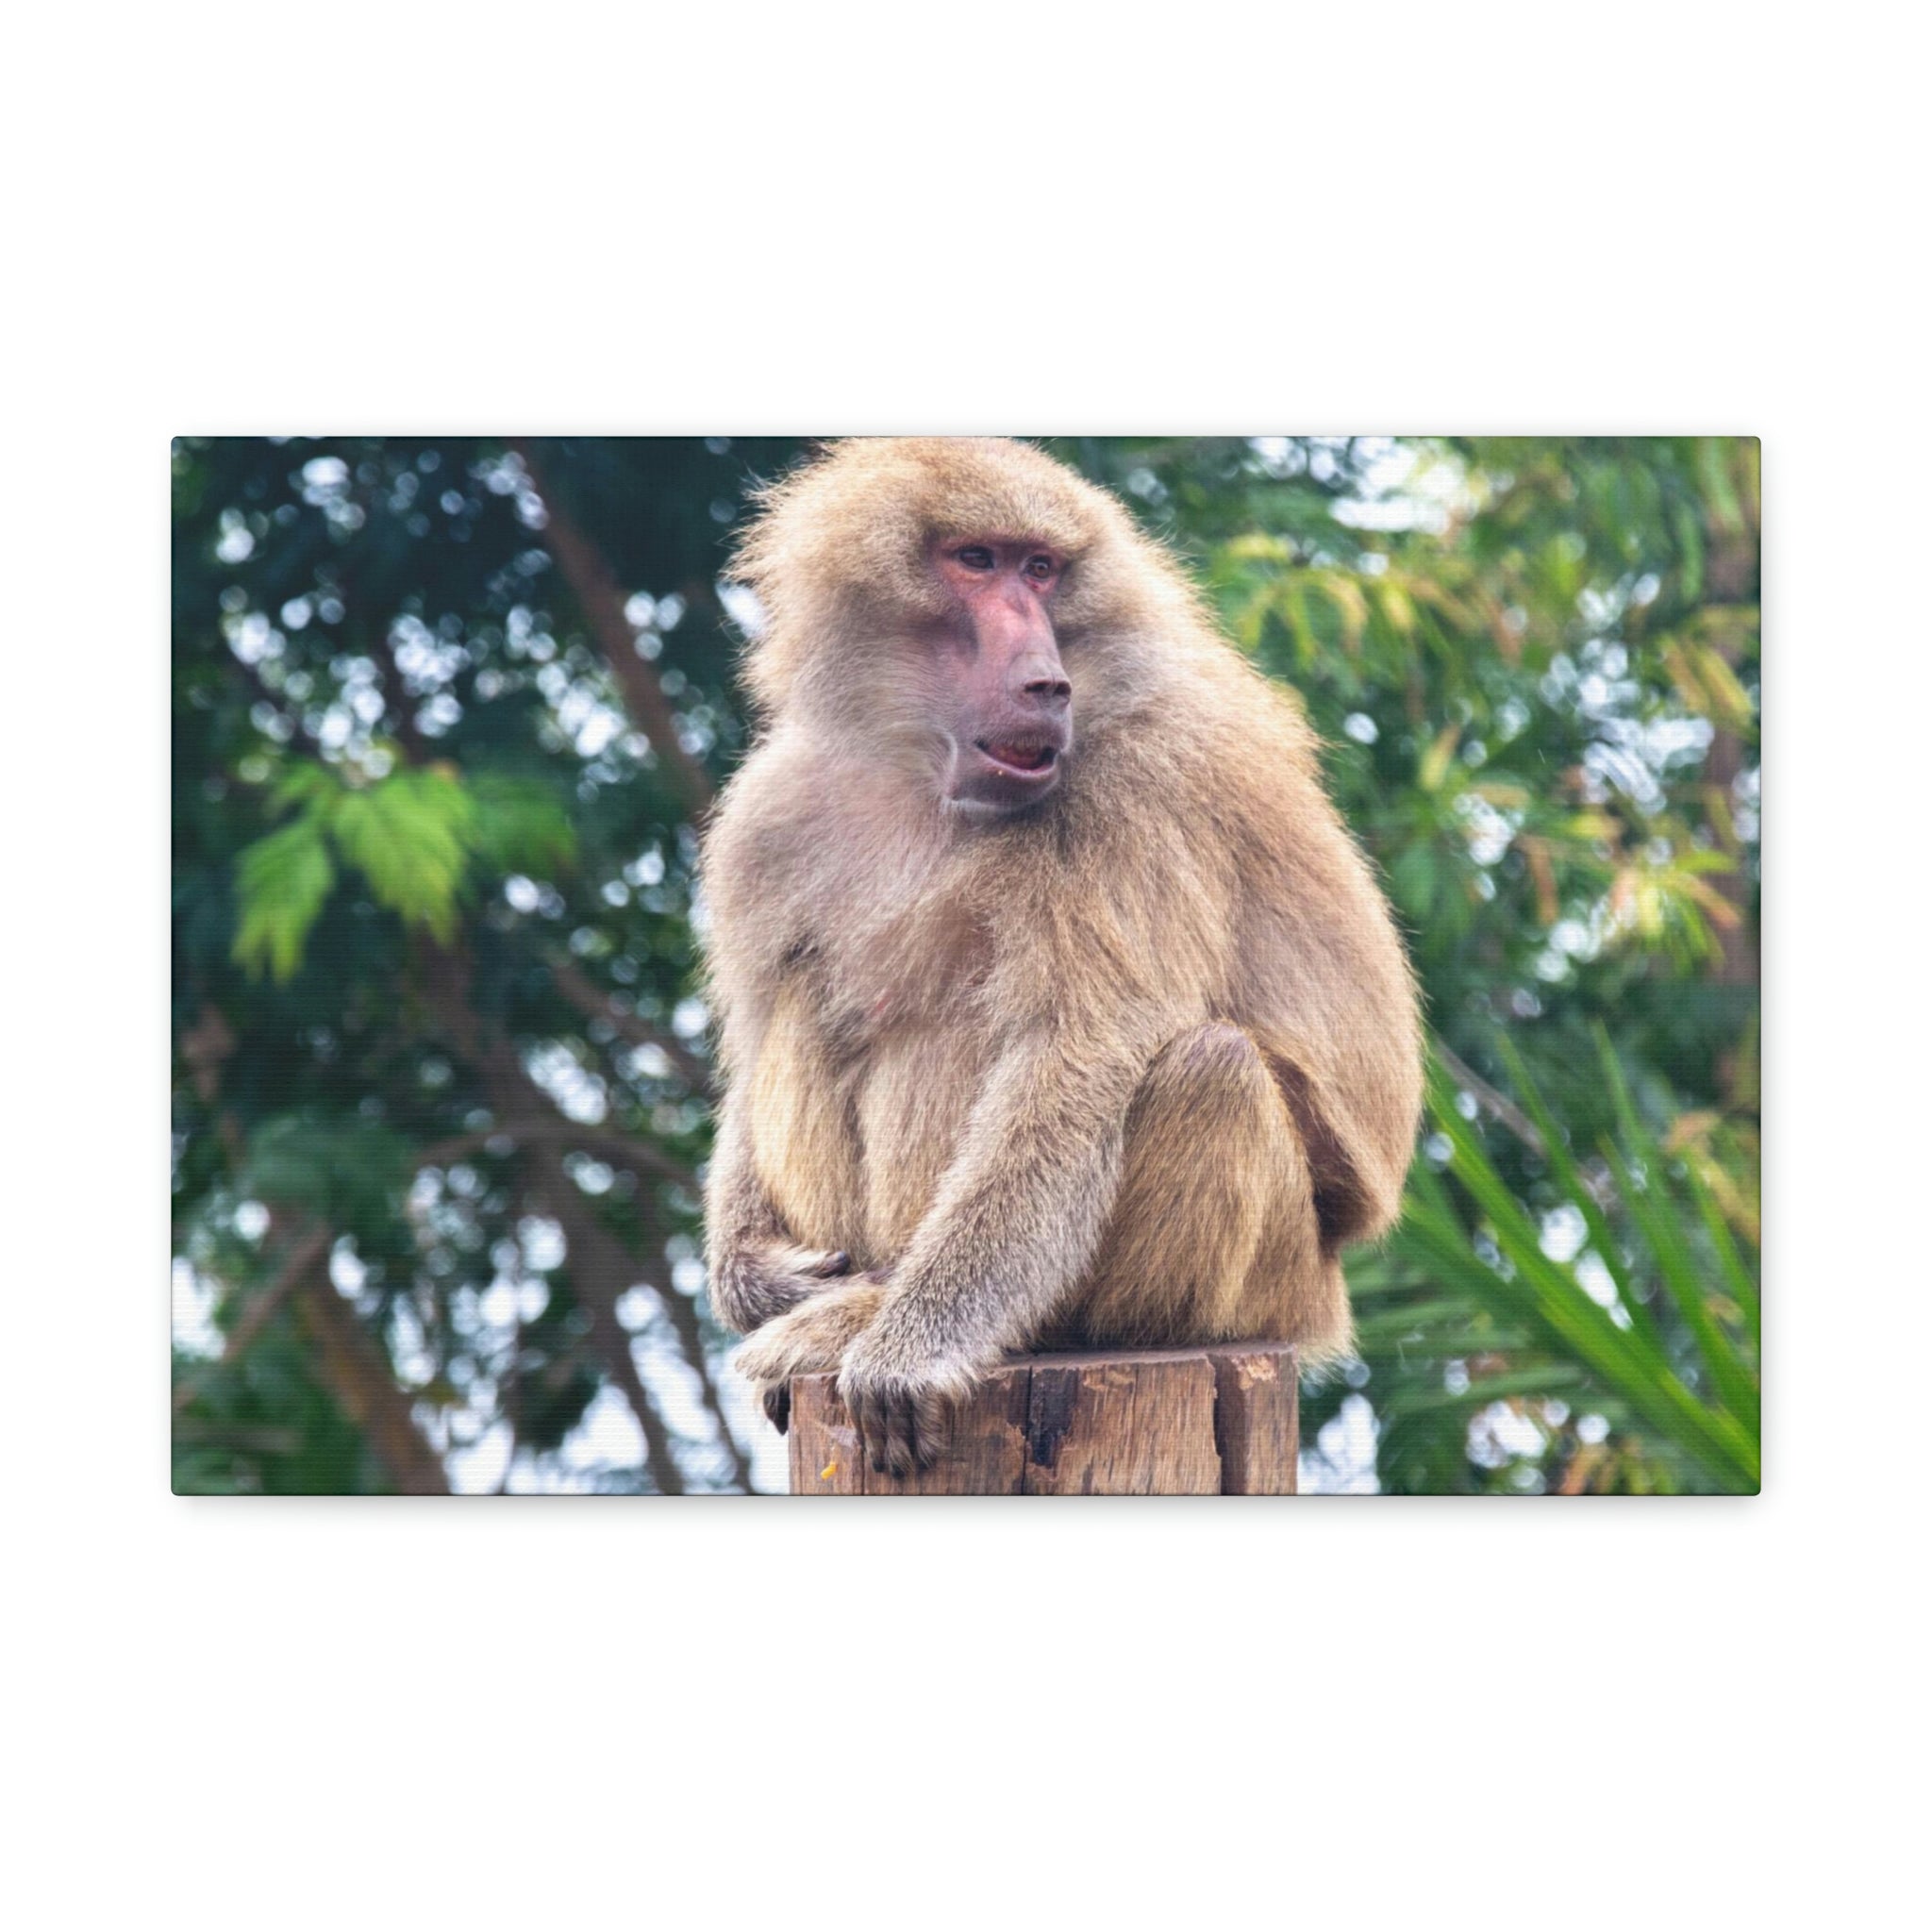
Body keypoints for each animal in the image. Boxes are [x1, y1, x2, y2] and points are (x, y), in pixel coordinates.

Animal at [698, 438, 1422, 1478]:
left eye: (1039, 569)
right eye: (976, 560)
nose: (1045, 681)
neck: (923, 772)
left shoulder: (1135, 789)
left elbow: (1070, 1059)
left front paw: (908, 1352)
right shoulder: (769, 813)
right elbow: (754, 1042)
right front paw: (754, 1274)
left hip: (1270, 1285)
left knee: (1208, 1068)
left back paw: (901, 1321)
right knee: (809, 997)